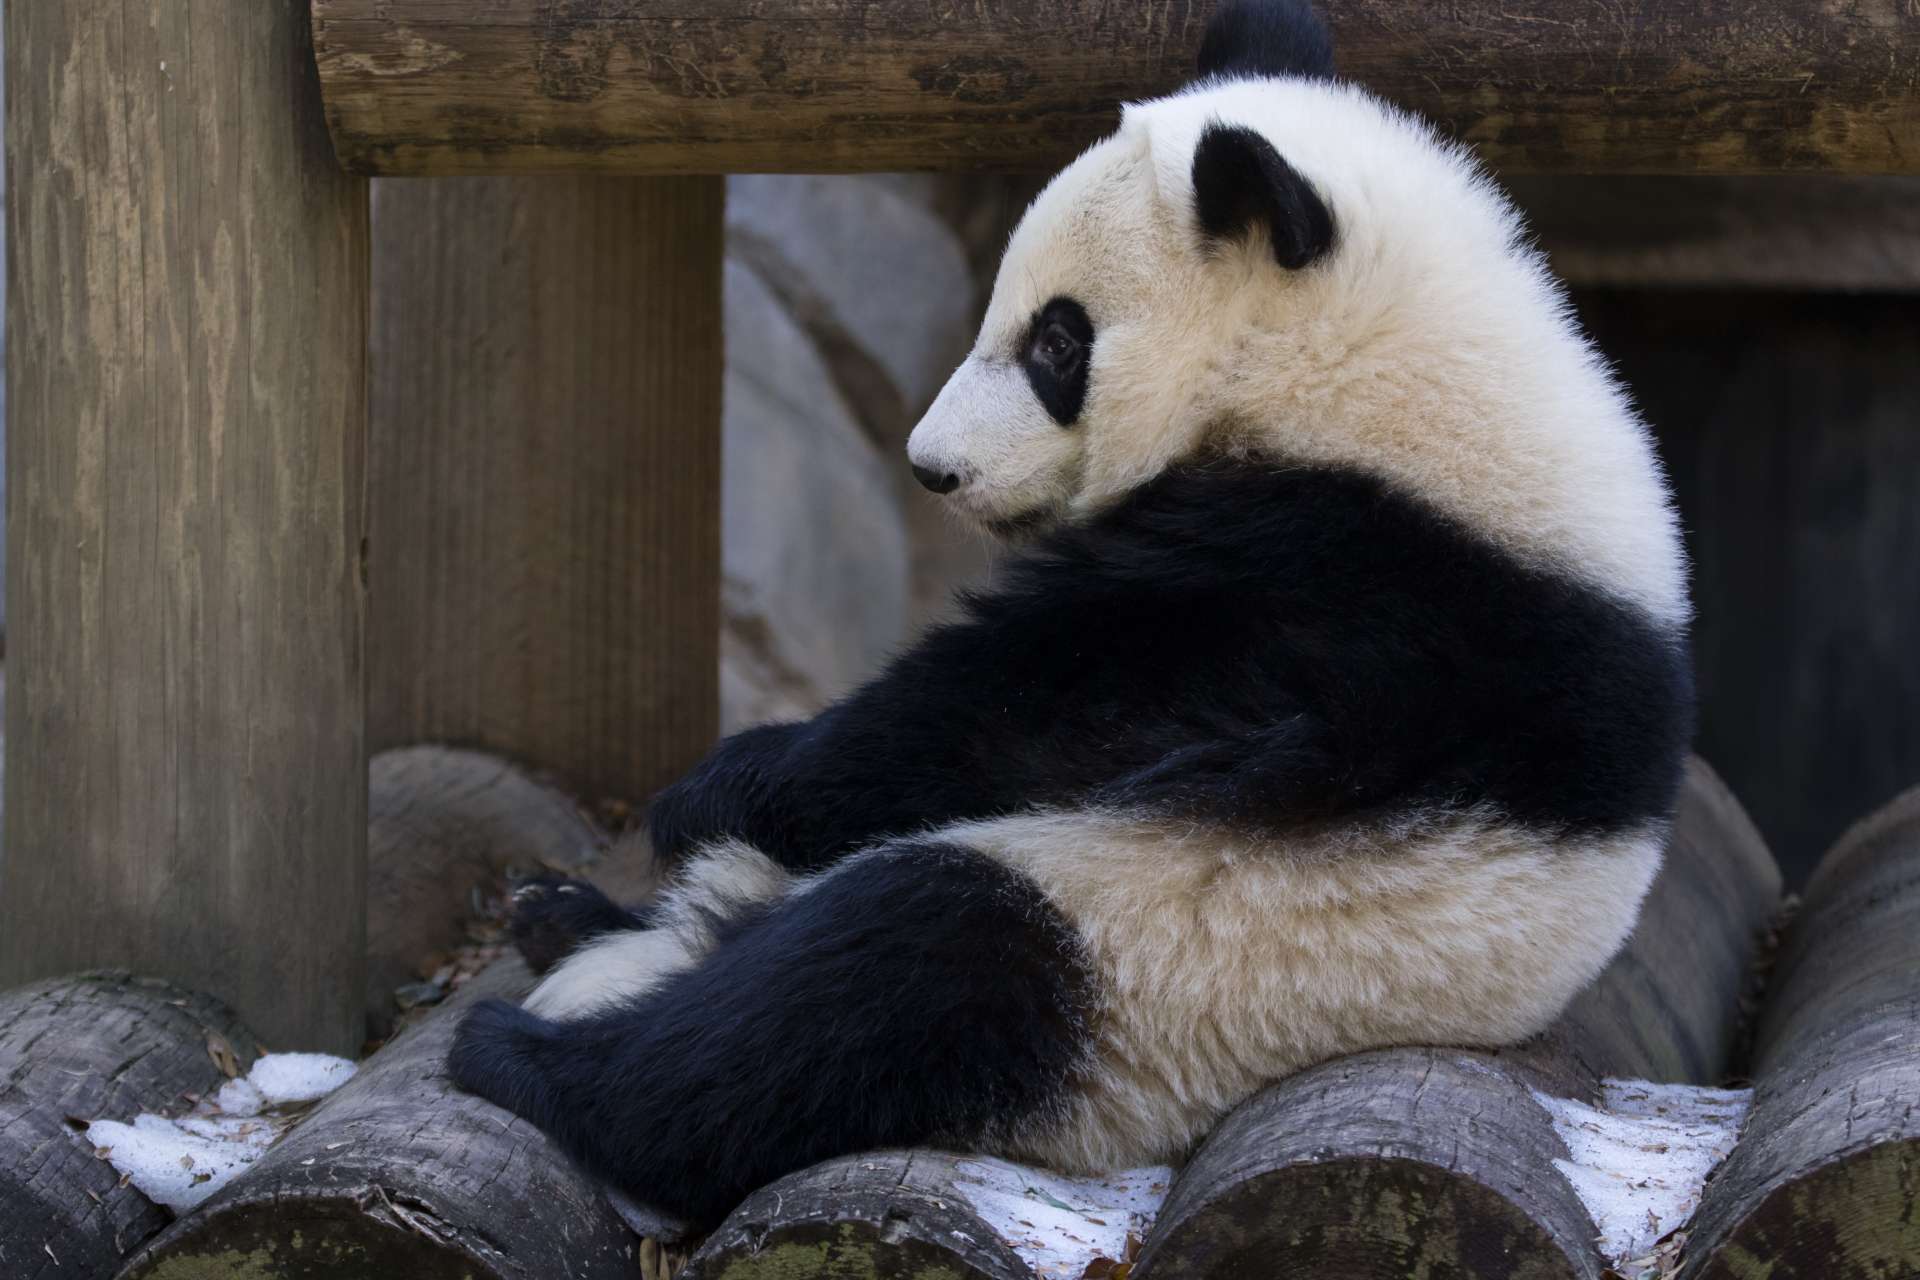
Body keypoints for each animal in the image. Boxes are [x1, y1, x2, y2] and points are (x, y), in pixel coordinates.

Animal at [450, 0, 1692, 1229]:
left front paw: (723, 783)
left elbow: (1031, 703)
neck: (1399, 380)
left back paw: (534, 1057)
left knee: (883, 978)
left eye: (1058, 341)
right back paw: (566, 917)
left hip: (1140, 957)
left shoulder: (1368, 584)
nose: (932, 467)